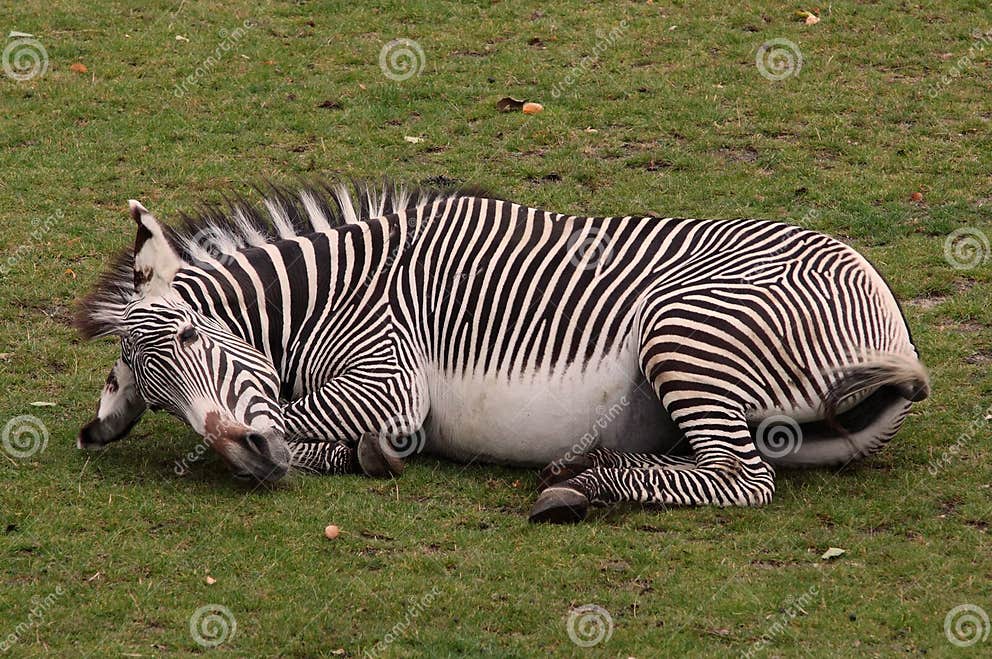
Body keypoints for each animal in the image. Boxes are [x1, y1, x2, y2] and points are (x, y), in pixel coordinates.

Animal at [74, 181, 929, 523]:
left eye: (194, 334)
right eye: (157, 403)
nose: (248, 460)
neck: (333, 290)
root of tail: (884, 306)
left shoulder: (390, 378)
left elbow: (302, 416)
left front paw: (360, 450)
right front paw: (358, 455)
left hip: (684, 328)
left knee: (741, 480)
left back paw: (585, 480)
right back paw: (583, 473)